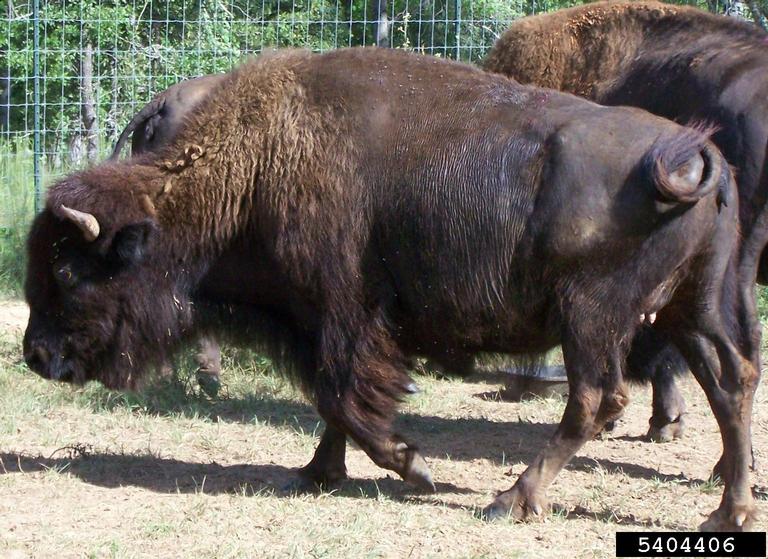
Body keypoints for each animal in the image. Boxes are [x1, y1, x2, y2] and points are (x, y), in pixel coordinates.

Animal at [23, 48, 757, 530]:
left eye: (67, 272)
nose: (35, 355)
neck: (252, 169)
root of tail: (698, 155)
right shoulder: (326, 323)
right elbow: (333, 404)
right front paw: (317, 472)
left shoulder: (343, 315)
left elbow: (343, 398)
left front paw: (413, 466)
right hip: (690, 308)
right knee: (732, 382)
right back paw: (730, 511)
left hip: (594, 317)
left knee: (597, 400)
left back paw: (509, 501)